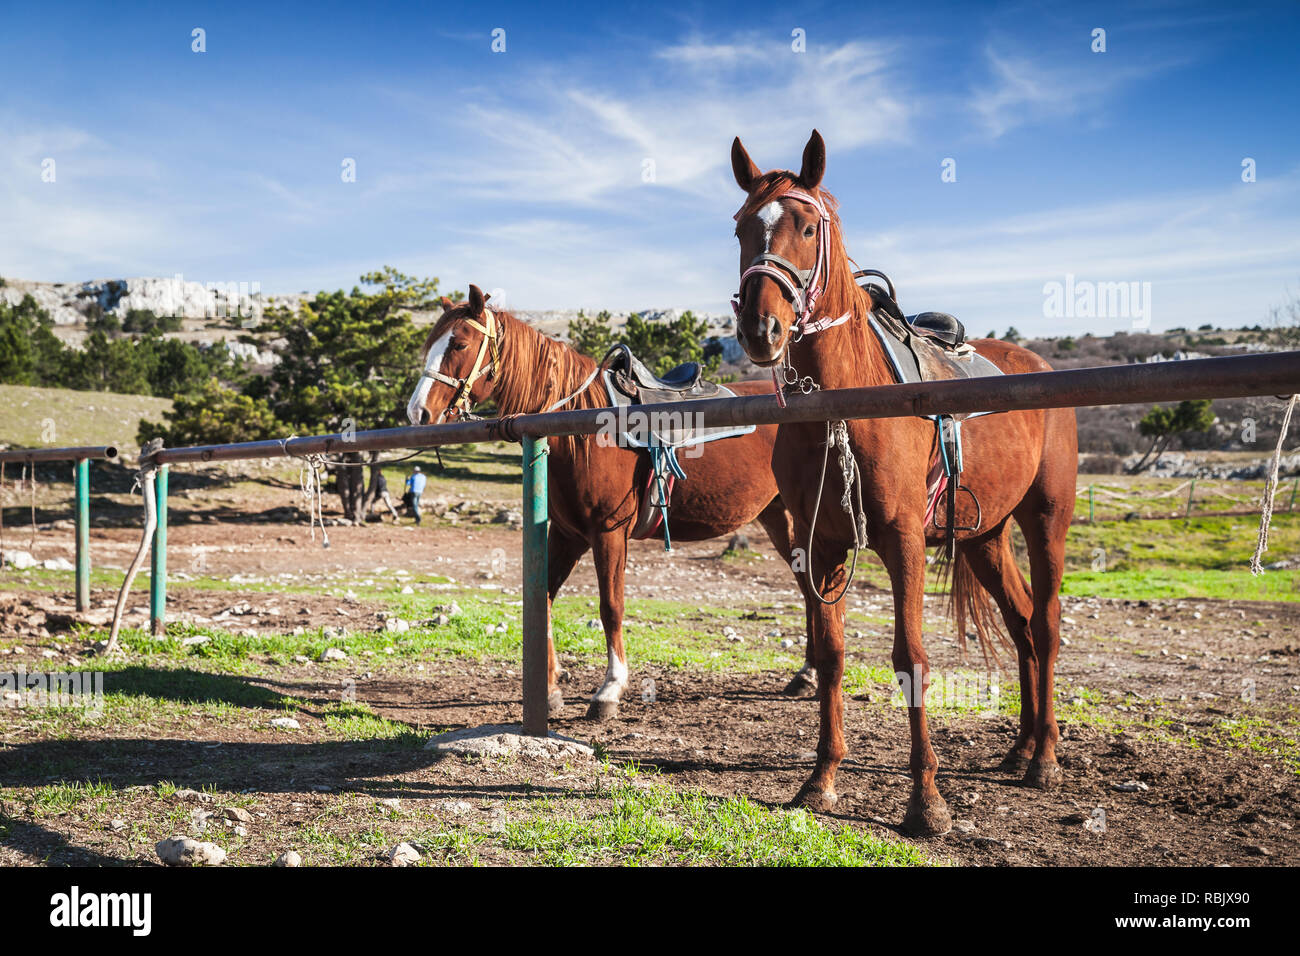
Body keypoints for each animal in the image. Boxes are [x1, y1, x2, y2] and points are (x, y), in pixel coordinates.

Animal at [406, 285, 818, 718]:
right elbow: (543, 598)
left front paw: (609, 689)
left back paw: (811, 673)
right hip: (778, 517)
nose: (418, 412)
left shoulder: (608, 533)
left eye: (459, 343)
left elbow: (611, 607)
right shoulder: (567, 535)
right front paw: (550, 689)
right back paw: (806, 675)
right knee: (809, 584)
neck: (579, 428)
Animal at [729, 130, 1078, 835]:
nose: (760, 328)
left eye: (808, 226)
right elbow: (831, 656)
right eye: (740, 229)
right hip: (986, 539)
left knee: (1048, 625)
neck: (842, 404)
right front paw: (821, 780)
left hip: (1046, 520)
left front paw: (926, 800)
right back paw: (1021, 748)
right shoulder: (822, 546)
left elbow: (911, 657)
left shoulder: (904, 541)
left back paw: (1046, 758)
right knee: (1024, 625)